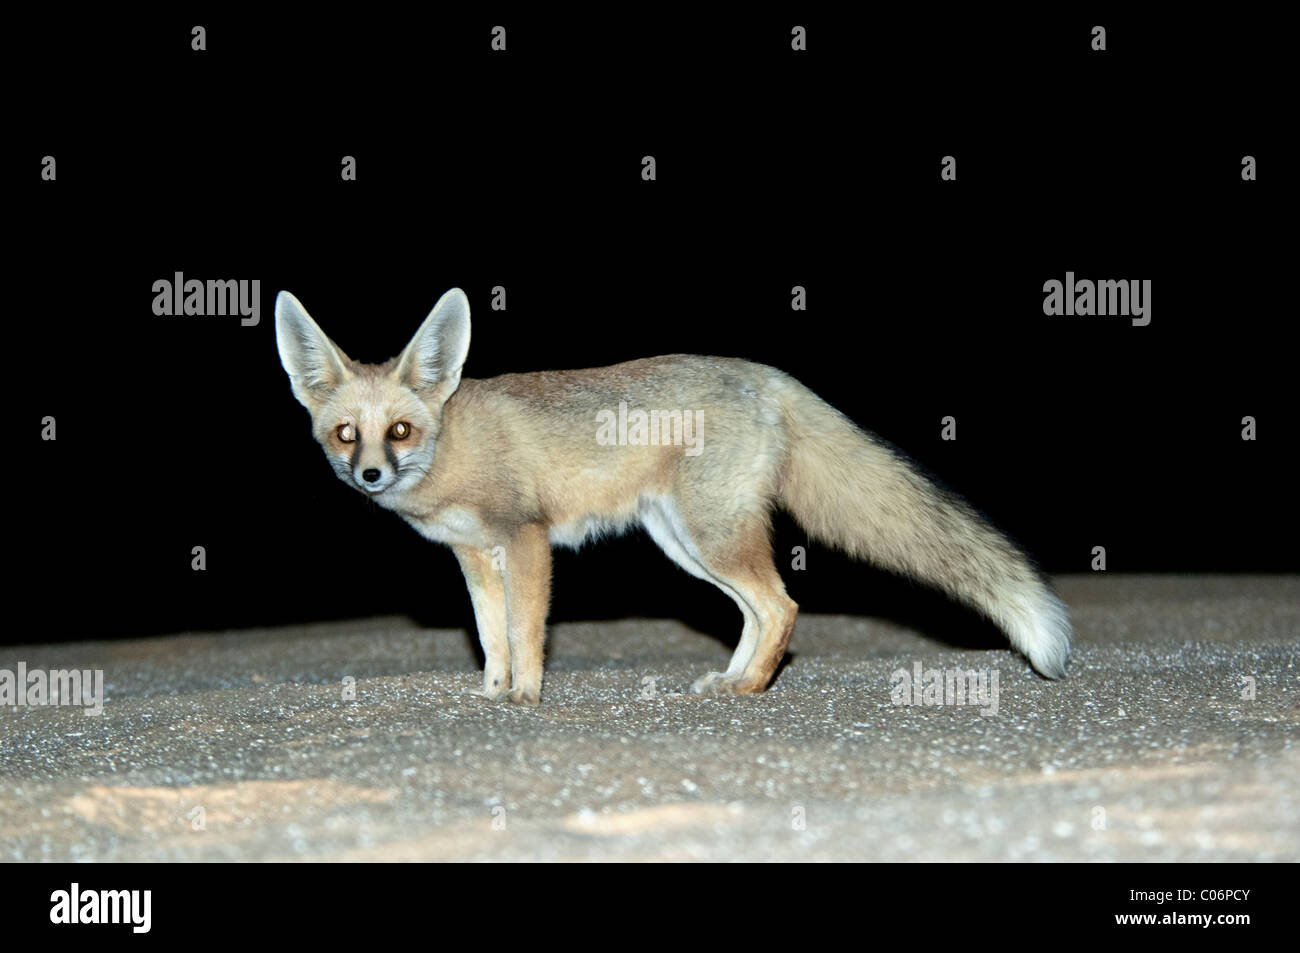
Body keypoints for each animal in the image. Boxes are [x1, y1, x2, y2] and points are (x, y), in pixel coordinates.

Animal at [275, 287, 1071, 705]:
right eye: (347, 435)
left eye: (400, 431)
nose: (371, 476)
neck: (453, 450)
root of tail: (761, 371)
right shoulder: (474, 555)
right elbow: (488, 633)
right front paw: (494, 693)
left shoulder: (526, 539)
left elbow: (525, 633)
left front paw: (526, 698)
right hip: (686, 544)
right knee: (762, 609)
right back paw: (735, 678)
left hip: (708, 535)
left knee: (784, 605)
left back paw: (751, 689)